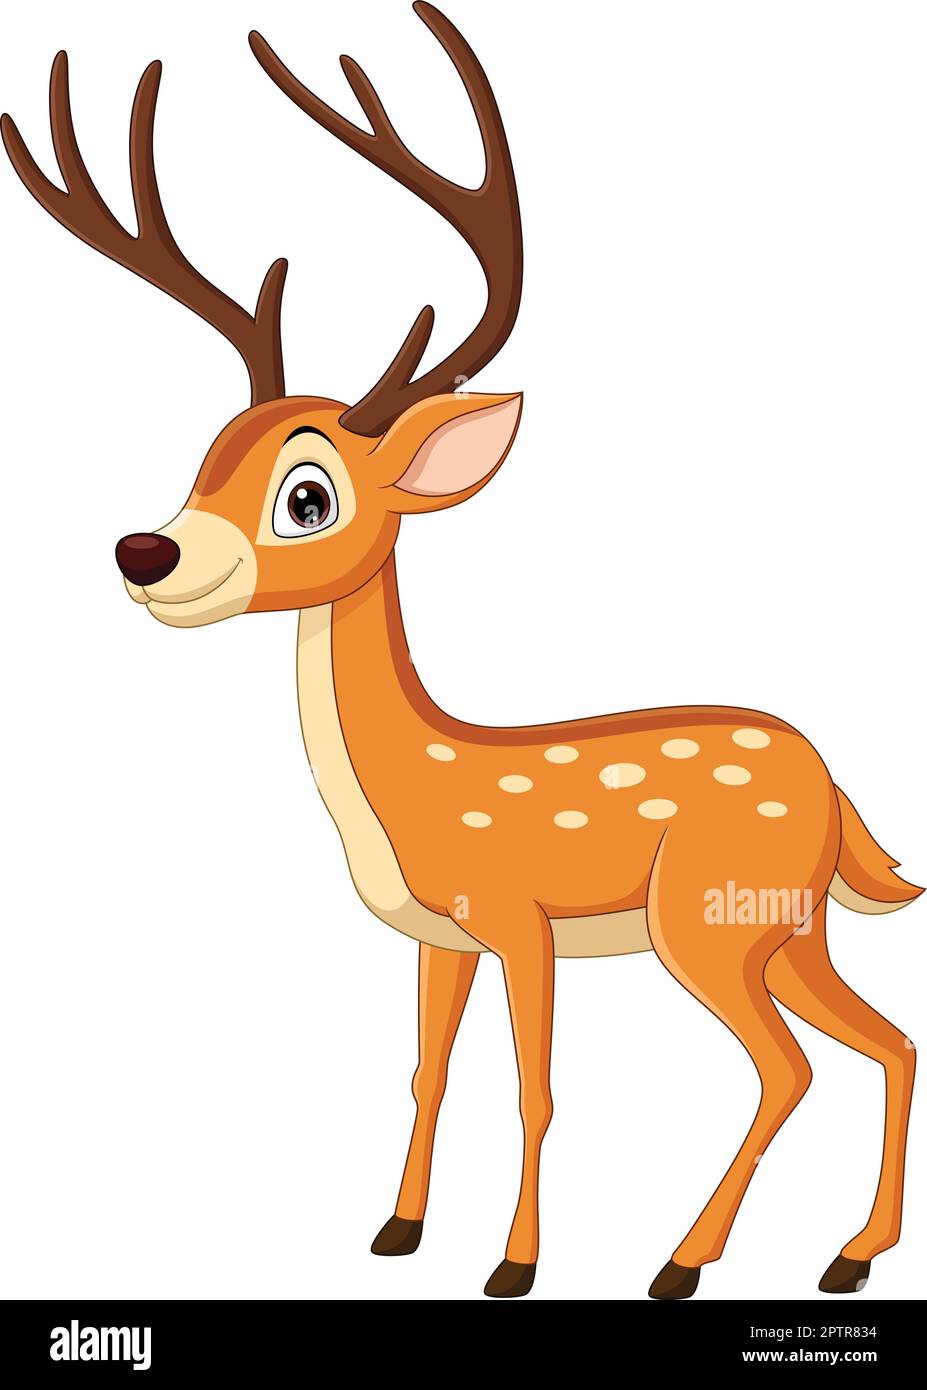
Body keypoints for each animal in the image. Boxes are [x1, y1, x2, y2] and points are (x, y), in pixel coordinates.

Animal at [3, 2, 920, 1301]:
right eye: (209, 453)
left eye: (306, 494)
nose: (145, 552)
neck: (417, 788)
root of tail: (835, 785)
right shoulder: (439, 937)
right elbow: (428, 1069)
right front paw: (395, 1230)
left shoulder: (516, 915)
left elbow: (535, 1086)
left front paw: (514, 1265)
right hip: (783, 926)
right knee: (886, 1040)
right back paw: (847, 1254)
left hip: (705, 920)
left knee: (786, 1066)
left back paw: (684, 1262)